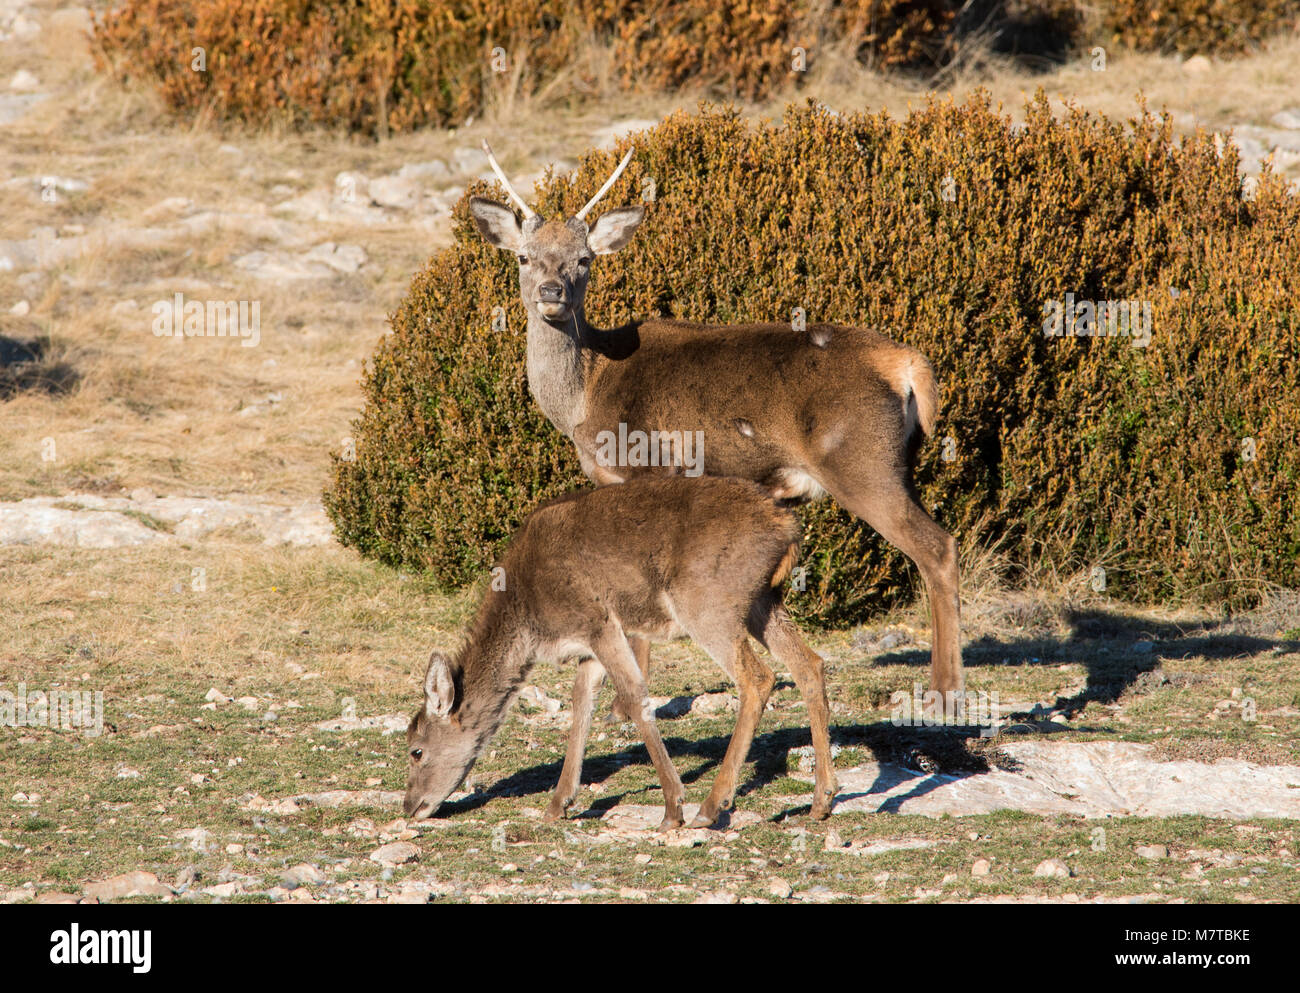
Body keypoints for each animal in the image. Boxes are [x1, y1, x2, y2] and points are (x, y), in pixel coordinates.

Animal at [402, 475, 837, 831]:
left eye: (416, 750)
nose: (409, 807)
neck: (530, 621)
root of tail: (788, 528)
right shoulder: (589, 644)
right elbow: (581, 703)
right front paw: (558, 804)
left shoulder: (600, 622)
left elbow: (634, 696)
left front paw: (672, 808)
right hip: (764, 600)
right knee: (809, 664)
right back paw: (822, 800)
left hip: (708, 604)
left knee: (758, 678)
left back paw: (711, 807)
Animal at [467, 142, 964, 708]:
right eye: (524, 256)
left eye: (585, 260)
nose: (552, 291)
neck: (584, 396)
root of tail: (907, 362)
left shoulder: (648, 468)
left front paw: (629, 700)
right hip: (902, 465)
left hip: (863, 463)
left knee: (937, 548)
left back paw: (944, 688)